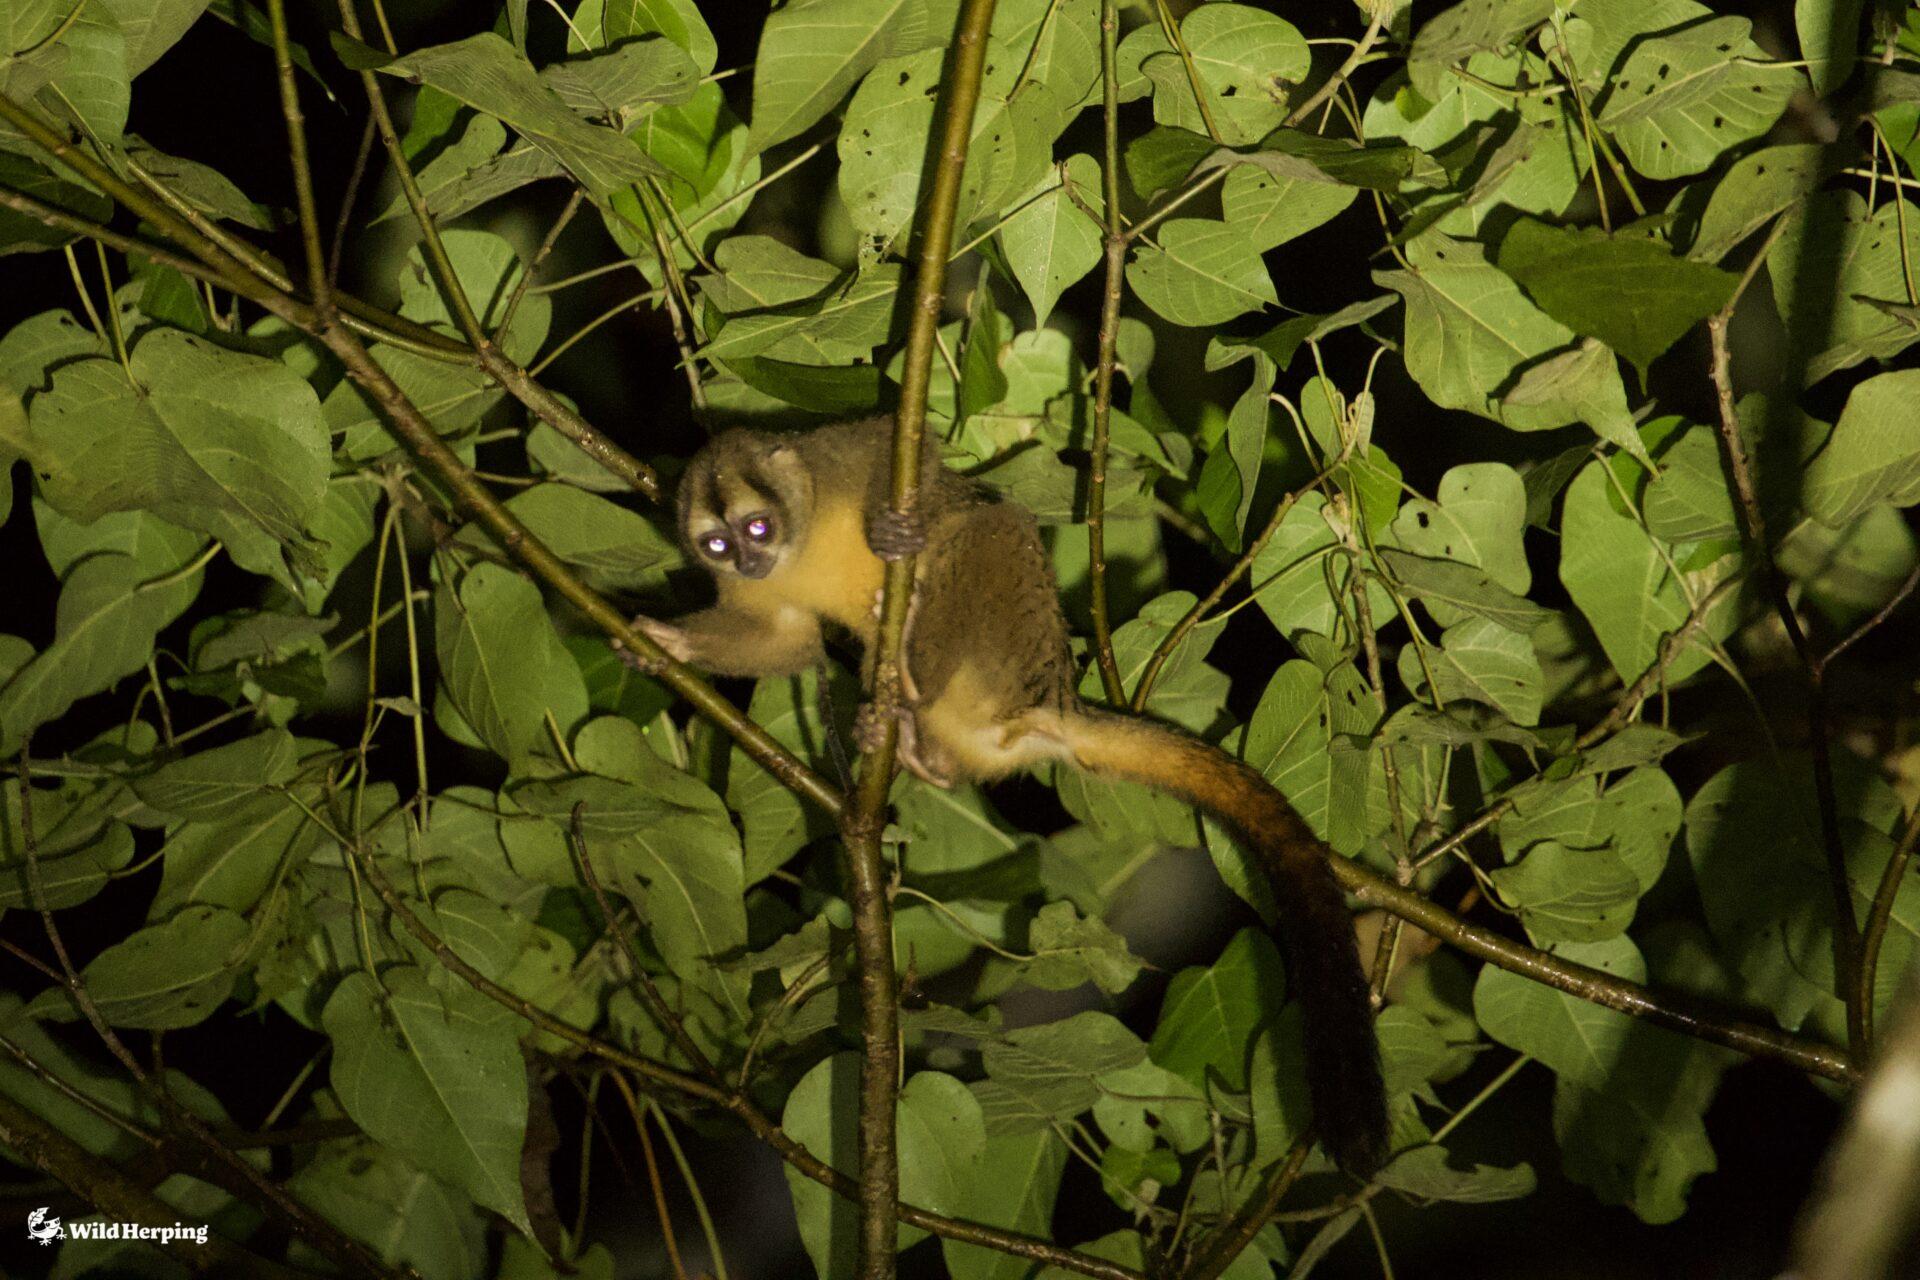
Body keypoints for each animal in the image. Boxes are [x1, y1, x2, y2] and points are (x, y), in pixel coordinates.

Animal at [619, 416, 1390, 1177]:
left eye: (757, 526)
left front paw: (891, 529)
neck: (797, 544)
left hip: (1011, 633)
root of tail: (1044, 706)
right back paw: (912, 742)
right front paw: (667, 642)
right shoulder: (760, 595)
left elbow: (910, 451)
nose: (749, 562)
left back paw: (911, 662)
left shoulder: (837, 458)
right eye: (717, 544)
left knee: (985, 532)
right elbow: (785, 642)